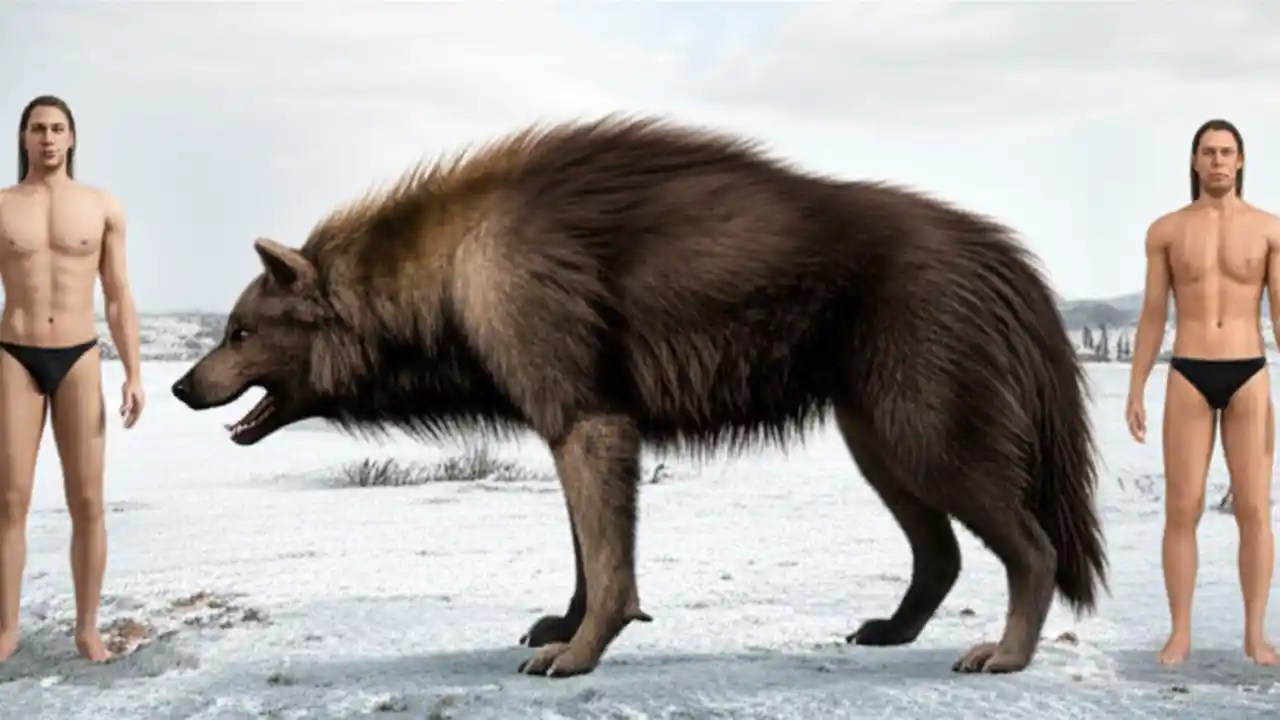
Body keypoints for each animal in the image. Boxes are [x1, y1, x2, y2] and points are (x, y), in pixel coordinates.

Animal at [172, 115, 1107, 678]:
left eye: (240, 332)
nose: (178, 386)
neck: (447, 270)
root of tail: (995, 247)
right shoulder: (576, 432)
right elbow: (589, 562)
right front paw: (569, 628)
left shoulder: (590, 426)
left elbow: (611, 571)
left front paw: (581, 655)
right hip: (881, 443)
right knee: (941, 554)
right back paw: (893, 632)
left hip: (925, 441)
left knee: (1032, 549)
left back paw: (1006, 656)